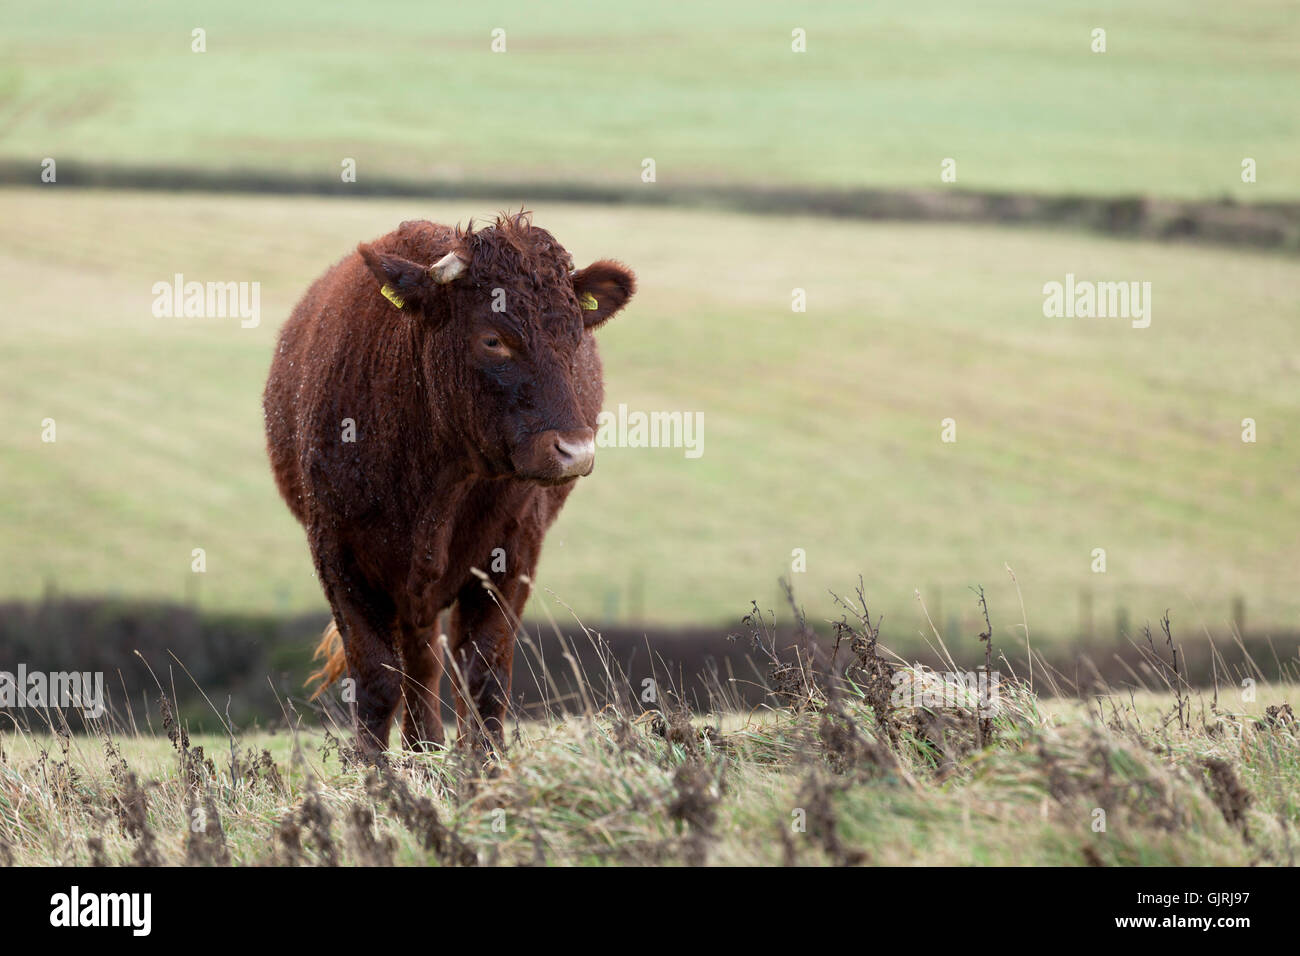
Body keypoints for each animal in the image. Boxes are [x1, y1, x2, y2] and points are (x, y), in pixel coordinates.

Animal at [262, 212, 635, 757]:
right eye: (493, 338)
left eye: (574, 334)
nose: (575, 449)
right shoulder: (337, 553)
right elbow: (376, 678)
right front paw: (375, 771)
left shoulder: (513, 552)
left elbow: (485, 673)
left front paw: (486, 764)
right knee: (418, 658)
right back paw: (424, 749)